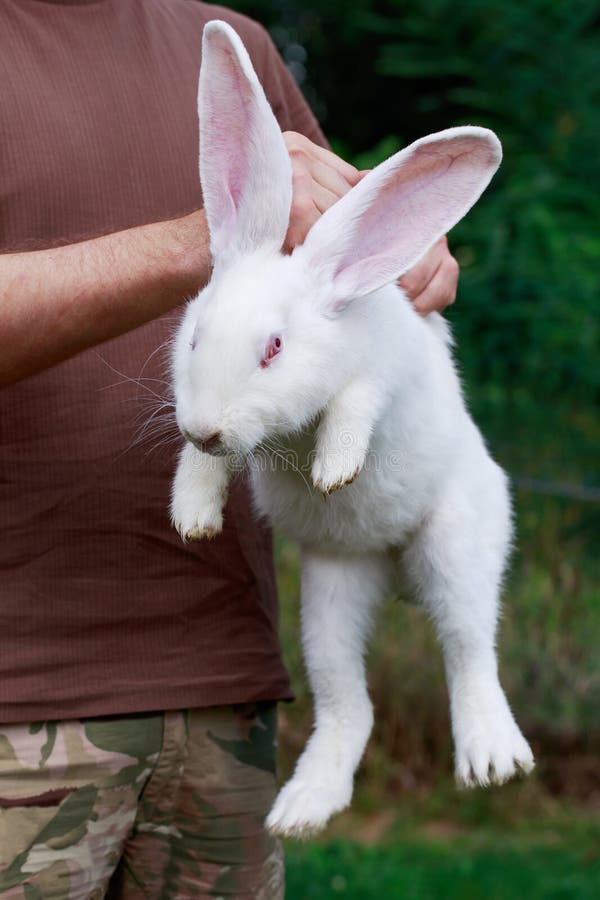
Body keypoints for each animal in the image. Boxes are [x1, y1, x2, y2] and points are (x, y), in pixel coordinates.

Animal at [170, 20, 534, 838]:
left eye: (274, 347)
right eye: (196, 337)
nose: (206, 427)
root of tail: (394, 562)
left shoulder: (379, 379)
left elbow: (353, 409)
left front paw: (335, 469)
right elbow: (204, 465)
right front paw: (194, 515)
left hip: (458, 545)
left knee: (470, 651)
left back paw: (493, 762)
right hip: (330, 593)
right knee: (348, 704)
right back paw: (301, 810)